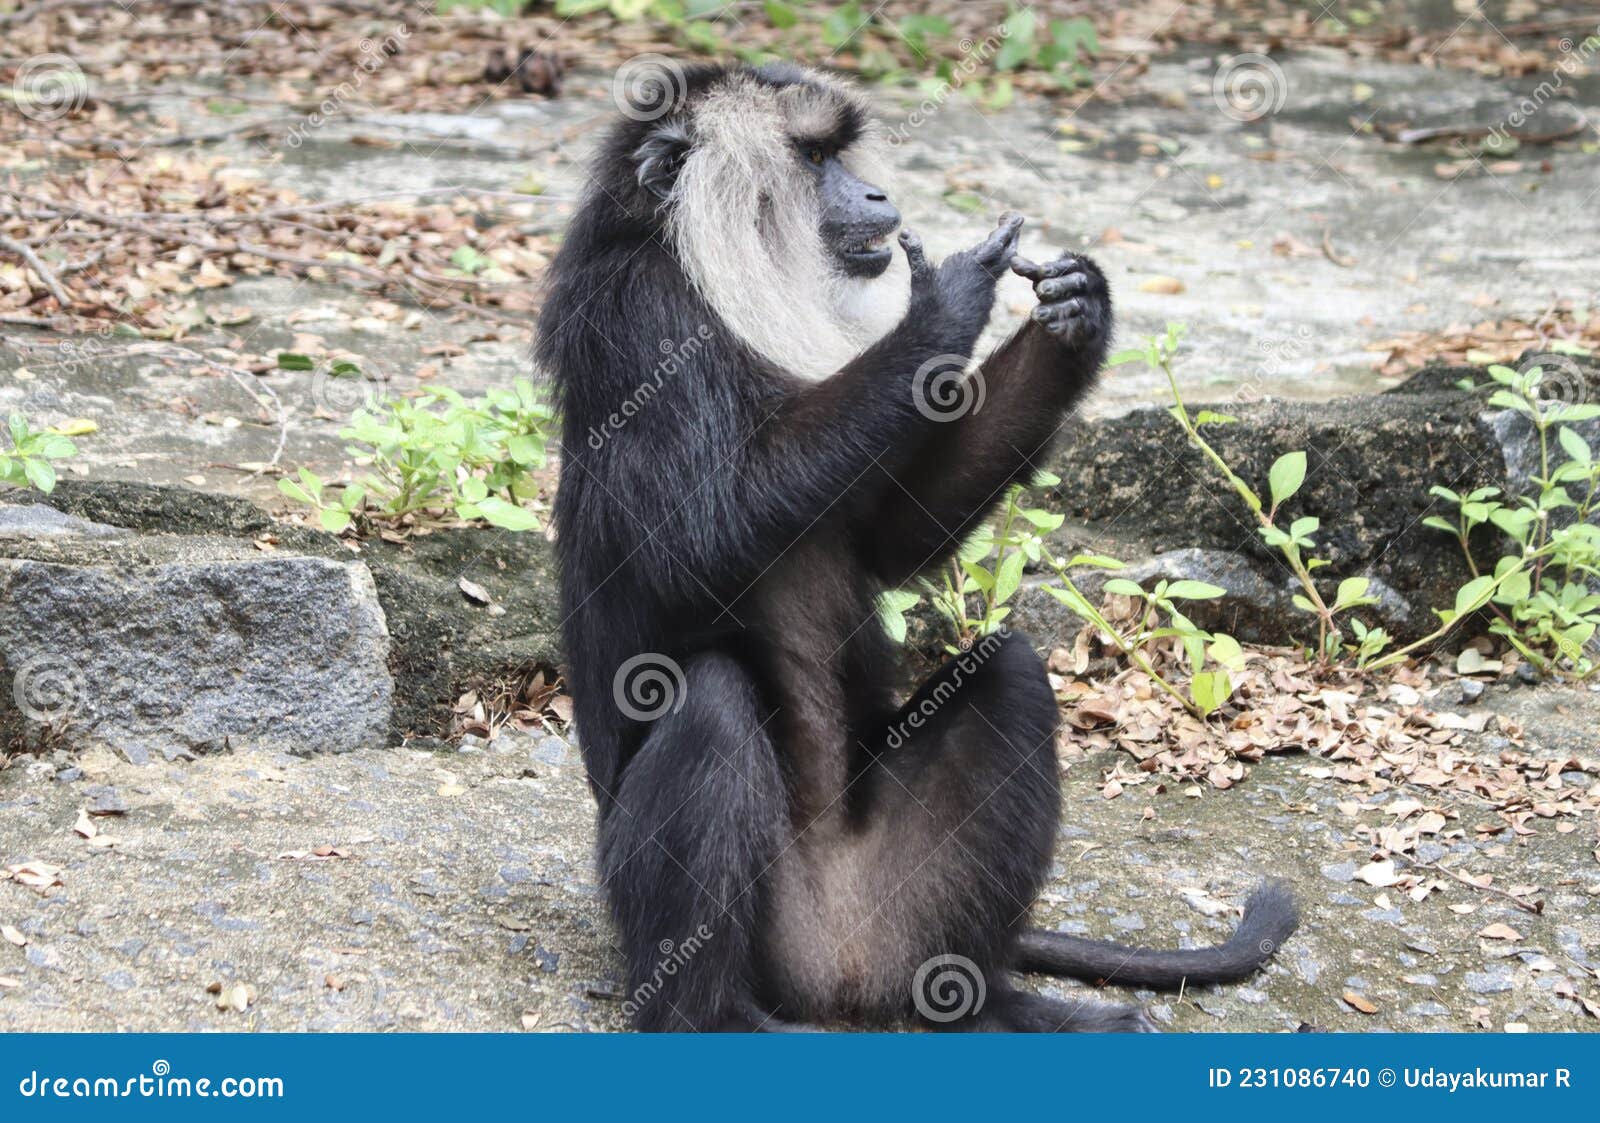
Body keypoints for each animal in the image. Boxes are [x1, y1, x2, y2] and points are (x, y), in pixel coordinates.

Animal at [536, 62, 1298, 1032]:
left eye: (839, 155)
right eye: (813, 159)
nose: (873, 194)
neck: (694, 264)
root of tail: (840, 970)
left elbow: (893, 540)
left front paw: (1076, 314)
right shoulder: (639, 318)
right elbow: (697, 538)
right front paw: (946, 306)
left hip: (899, 903)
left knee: (1011, 674)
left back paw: (989, 1001)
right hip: (757, 927)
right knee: (709, 698)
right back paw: (716, 1018)